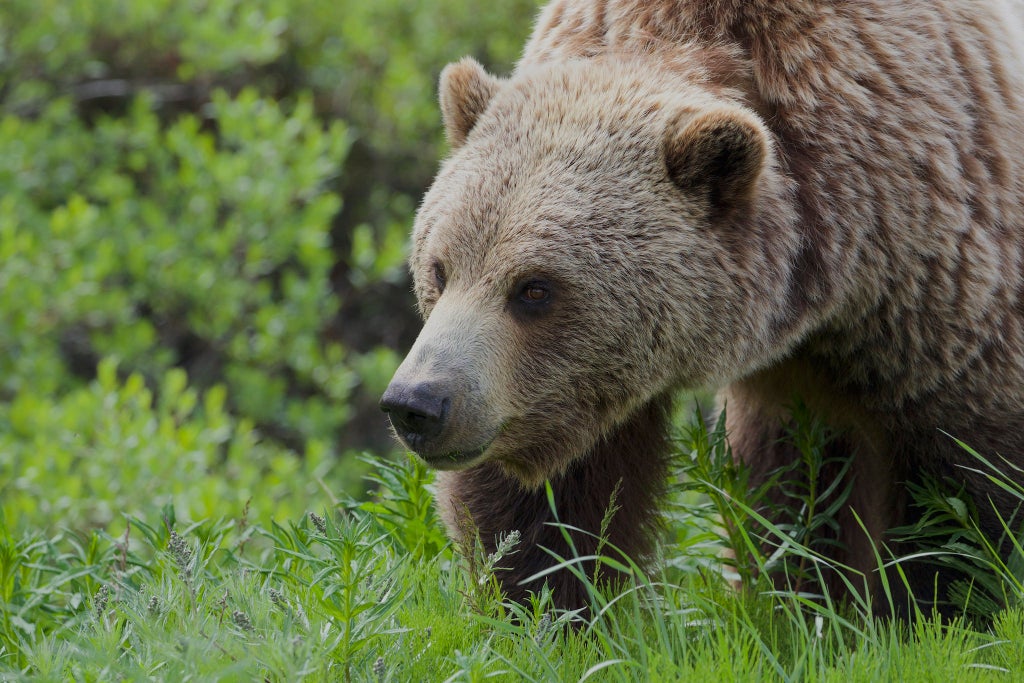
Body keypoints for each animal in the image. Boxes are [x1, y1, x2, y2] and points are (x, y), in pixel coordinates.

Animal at [380, 0, 1024, 614]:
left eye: (534, 288)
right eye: (439, 268)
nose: (418, 403)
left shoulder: (936, 302)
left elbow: (962, 502)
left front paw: (939, 607)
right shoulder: (565, 397)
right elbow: (548, 510)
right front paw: (546, 609)